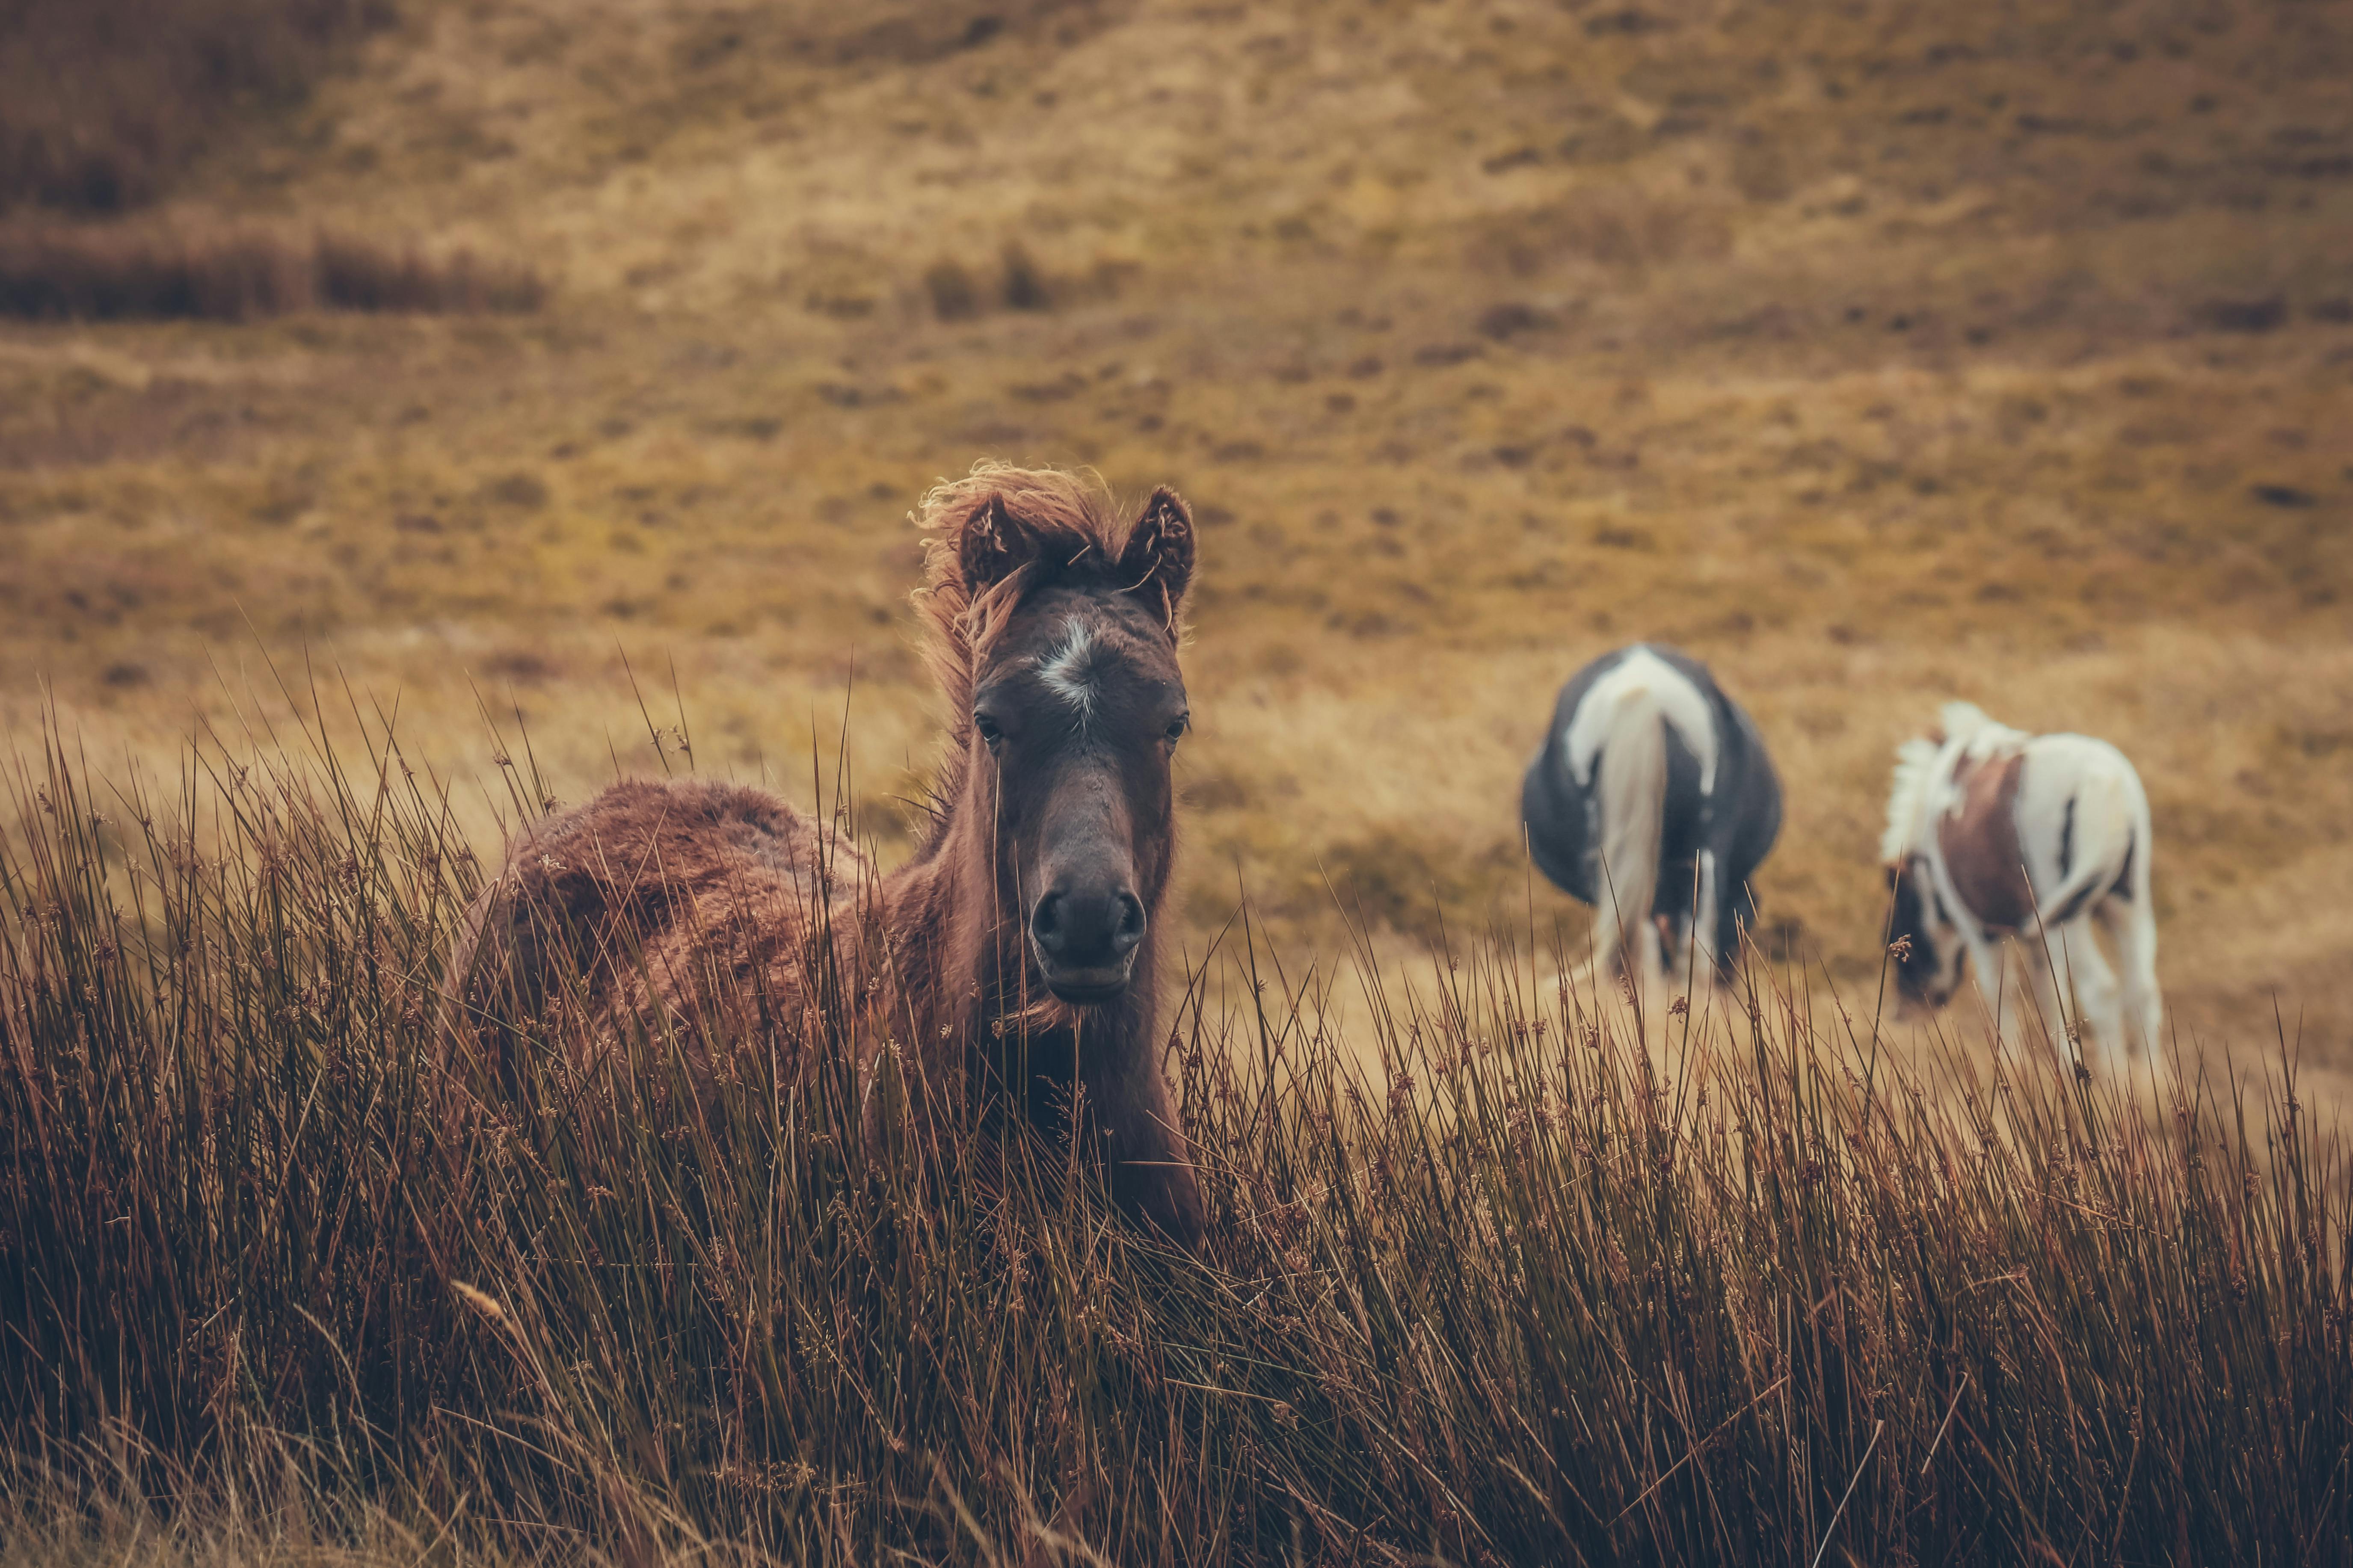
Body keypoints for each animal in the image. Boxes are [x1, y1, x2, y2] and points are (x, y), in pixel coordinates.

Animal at [1881, 700, 2162, 1075]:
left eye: (1897, 927)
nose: (1902, 1014)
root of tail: (2103, 783)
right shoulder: (2035, 938)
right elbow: (2049, 997)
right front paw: (2065, 1070)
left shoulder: (1979, 930)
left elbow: (2004, 994)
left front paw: (2013, 1070)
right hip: (2128, 904)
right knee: (2142, 989)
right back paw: (2151, 1082)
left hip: (2068, 920)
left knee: (2100, 991)